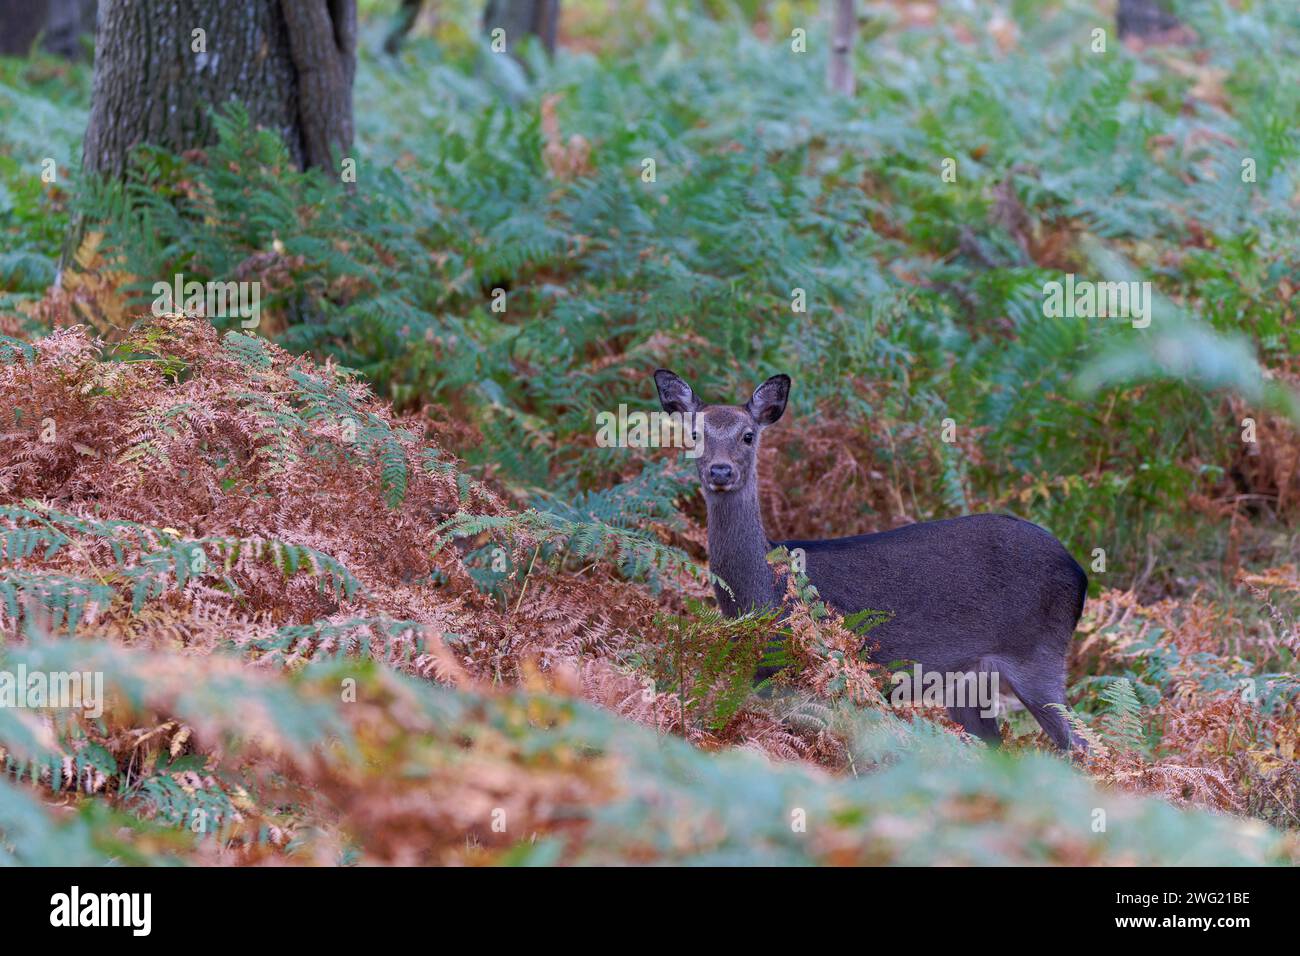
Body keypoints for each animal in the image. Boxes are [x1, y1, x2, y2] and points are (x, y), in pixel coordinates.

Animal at [653, 369, 1089, 751]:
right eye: (695, 433)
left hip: (1037, 654)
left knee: (1083, 747)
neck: (763, 592)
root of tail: (1080, 572)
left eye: (748, 435)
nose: (720, 470)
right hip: (970, 684)